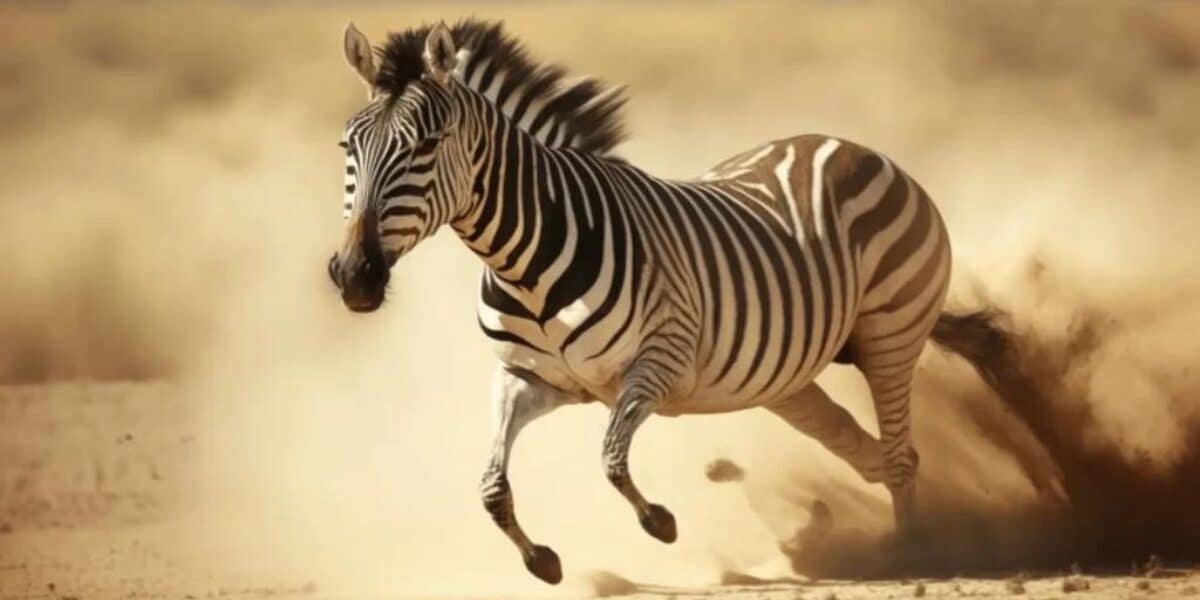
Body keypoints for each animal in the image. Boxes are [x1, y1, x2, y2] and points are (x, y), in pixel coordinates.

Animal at [328, 19, 983, 584]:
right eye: (346, 147)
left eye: (427, 145)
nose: (355, 275)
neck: (524, 265)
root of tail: (846, 146)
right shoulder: (527, 379)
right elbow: (491, 486)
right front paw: (542, 559)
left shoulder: (658, 363)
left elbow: (611, 457)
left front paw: (660, 520)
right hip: (788, 379)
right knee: (869, 453)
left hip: (889, 335)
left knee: (899, 456)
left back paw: (910, 554)